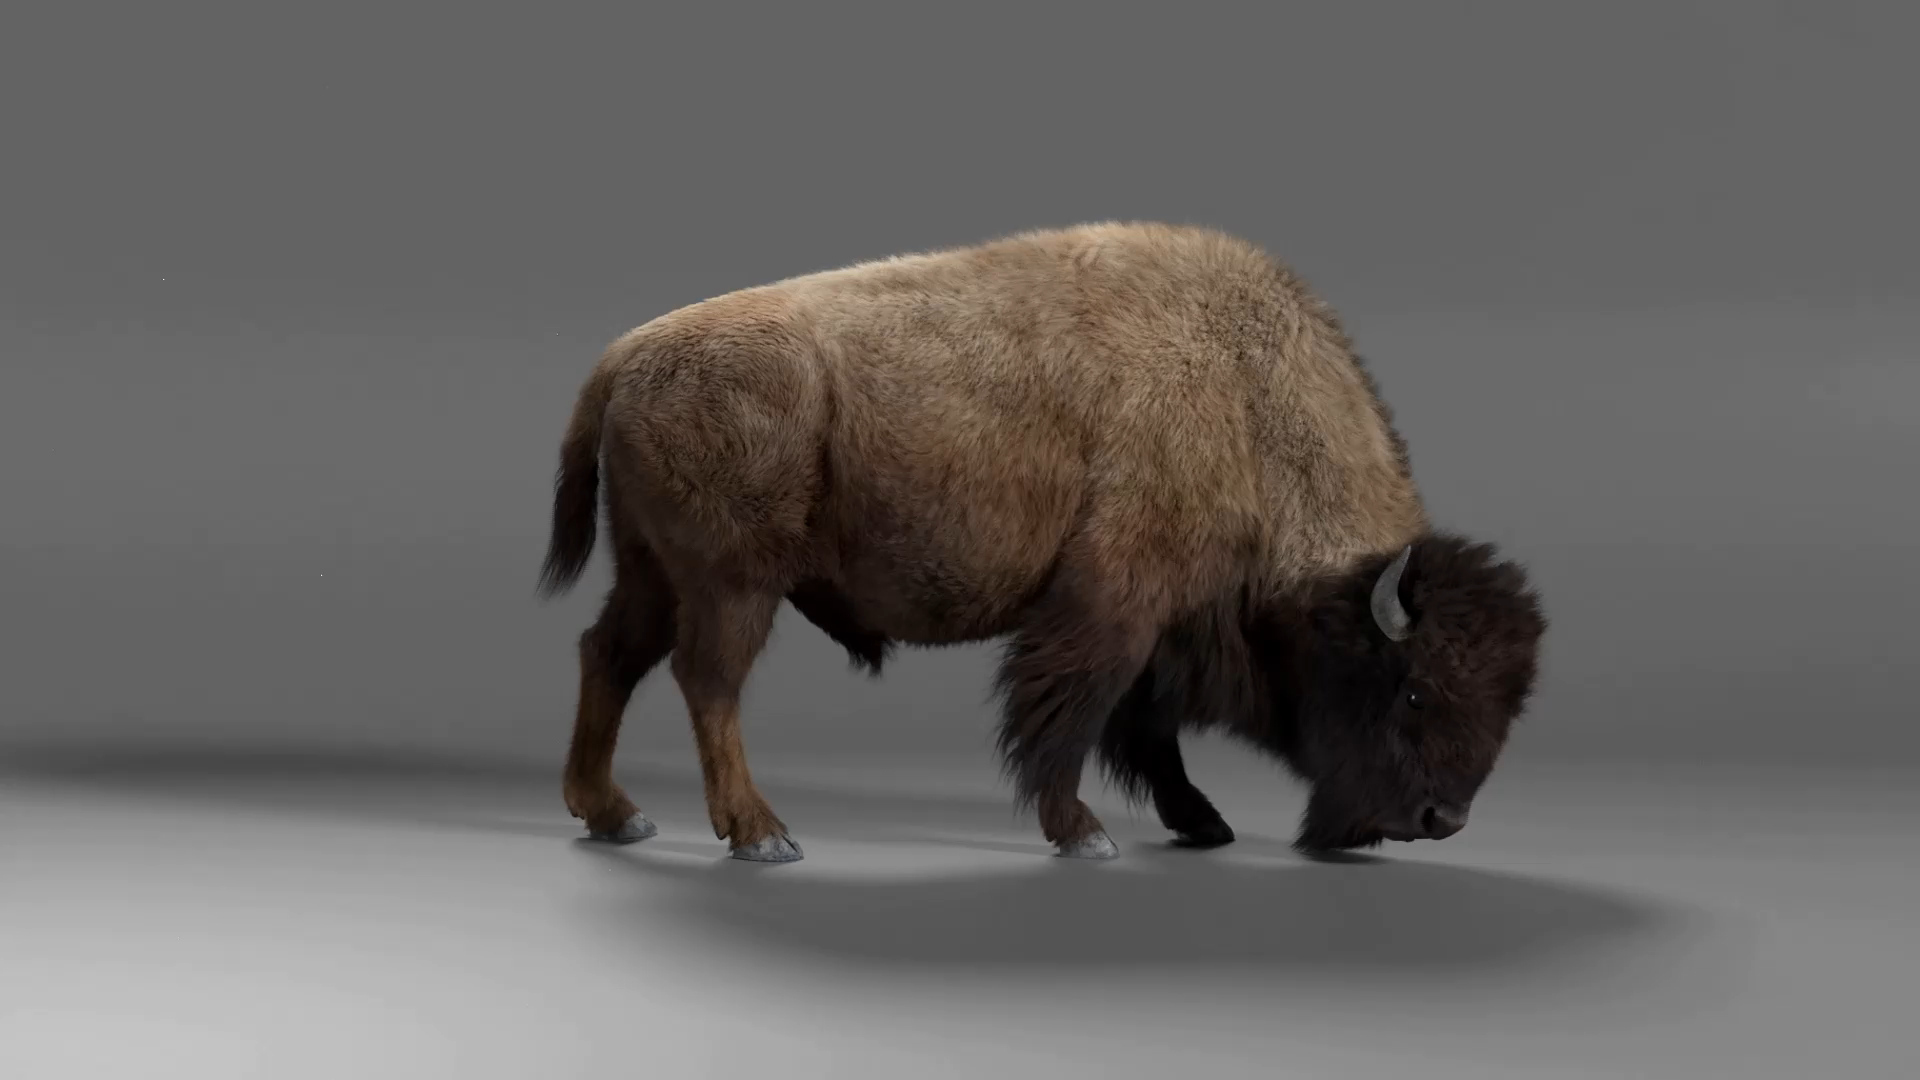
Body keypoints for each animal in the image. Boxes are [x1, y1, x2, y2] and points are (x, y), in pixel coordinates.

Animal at [537, 221, 1547, 863]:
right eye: (1413, 689)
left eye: (1510, 700)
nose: (1441, 819)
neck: (1247, 395)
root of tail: (623, 357)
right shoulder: (1112, 603)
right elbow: (1076, 715)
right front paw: (1084, 833)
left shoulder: (1164, 625)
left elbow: (1146, 729)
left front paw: (1201, 823)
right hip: (733, 582)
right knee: (707, 681)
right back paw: (759, 835)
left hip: (652, 571)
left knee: (608, 654)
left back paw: (613, 816)